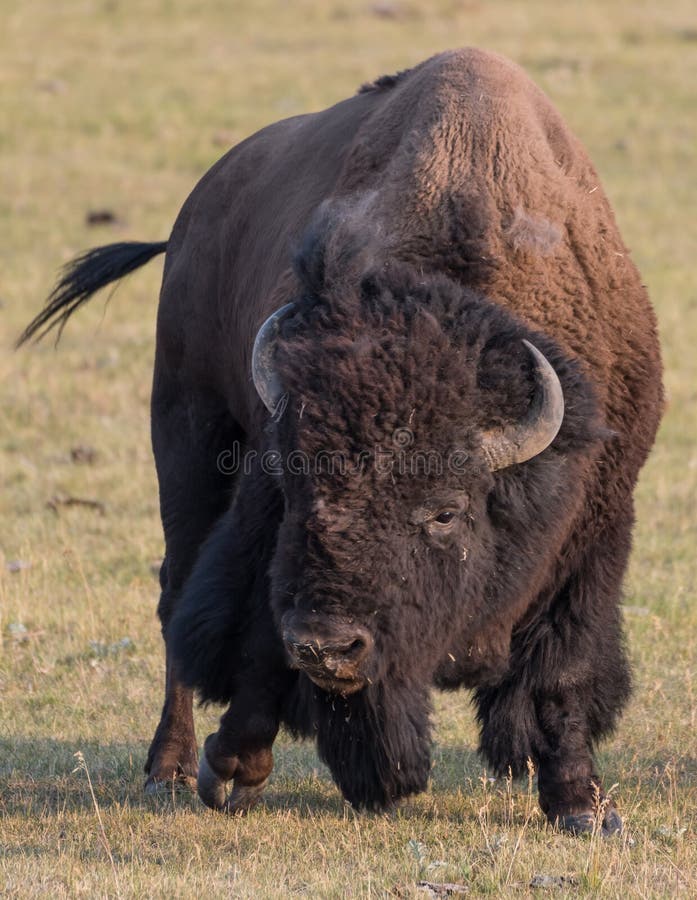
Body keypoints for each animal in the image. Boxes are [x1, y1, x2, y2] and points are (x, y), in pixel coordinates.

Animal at [20, 48, 663, 834]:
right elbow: (256, 646)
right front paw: (230, 770)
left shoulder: (596, 530)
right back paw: (167, 771)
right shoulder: (269, 530)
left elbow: (561, 672)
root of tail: (201, 205)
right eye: (300, 488)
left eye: (446, 509)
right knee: (176, 600)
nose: (326, 645)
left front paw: (583, 807)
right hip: (186, 433)